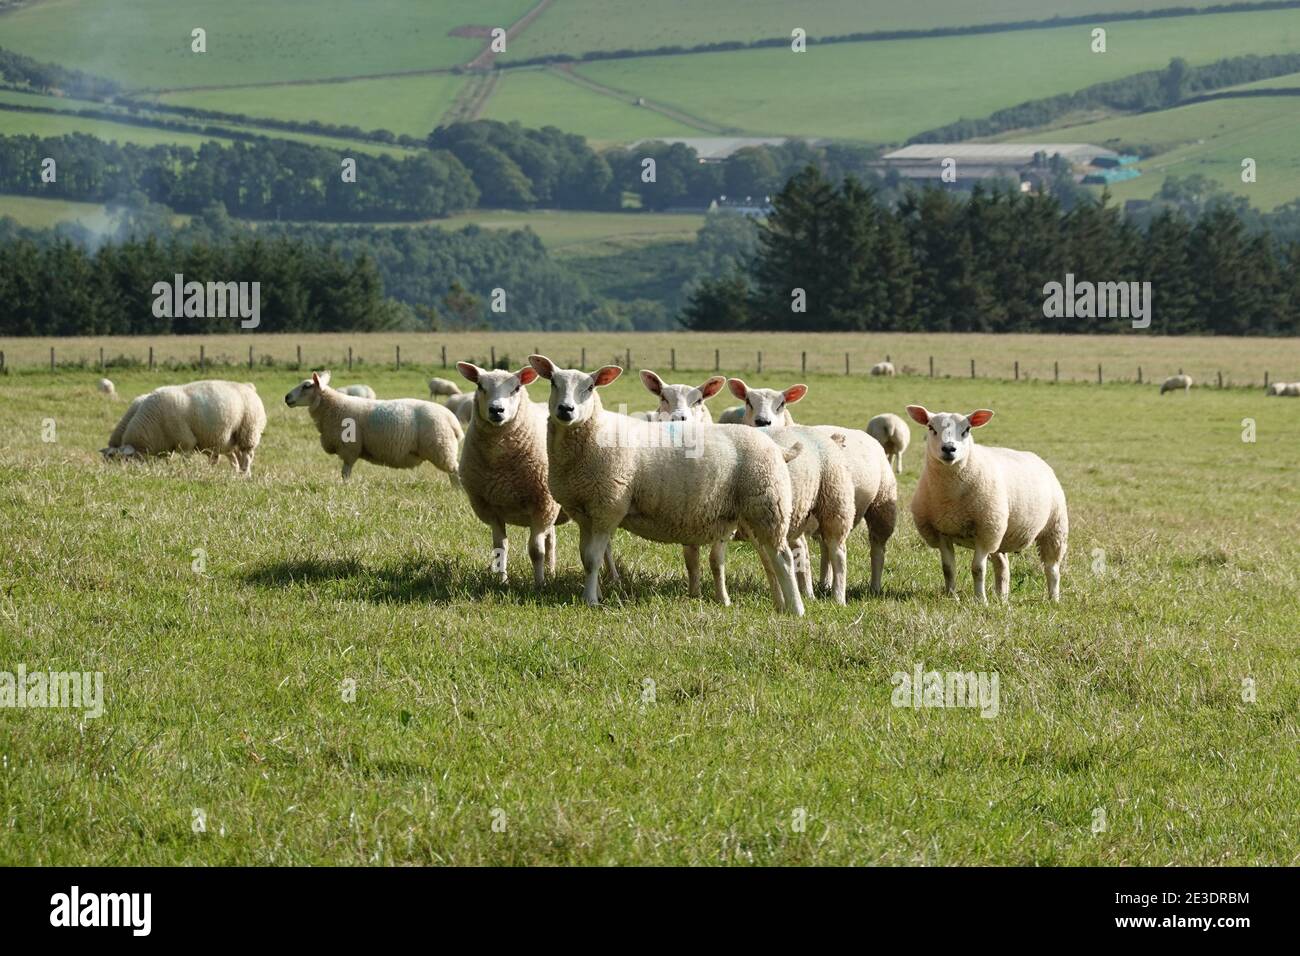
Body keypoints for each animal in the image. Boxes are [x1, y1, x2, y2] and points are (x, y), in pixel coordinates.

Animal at [101, 379, 266, 475]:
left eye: (122, 460)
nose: (114, 476)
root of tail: (249, 387)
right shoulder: (166, 444)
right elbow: (167, 459)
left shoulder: (185, 441)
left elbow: (186, 459)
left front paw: (186, 471)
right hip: (229, 440)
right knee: (235, 457)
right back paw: (235, 475)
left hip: (248, 432)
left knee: (247, 456)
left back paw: (245, 475)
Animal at [284, 370, 461, 482]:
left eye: (306, 386)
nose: (286, 397)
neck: (333, 406)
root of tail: (452, 419)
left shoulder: (350, 448)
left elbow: (345, 473)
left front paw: (344, 487)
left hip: (441, 448)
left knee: (455, 472)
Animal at [455, 361, 562, 587]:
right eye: (480, 386)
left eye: (516, 388)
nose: (497, 410)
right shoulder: (492, 509)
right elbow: (500, 548)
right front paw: (502, 581)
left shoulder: (541, 505)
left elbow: (536, 550)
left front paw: (539, 585)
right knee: (551, 539)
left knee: (549, 543)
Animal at [528, 355, 805, 615]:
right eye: (553, 383)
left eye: (590, 387)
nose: (566, 409)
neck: (593, 434)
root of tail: (776, 447)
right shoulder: (584, 512)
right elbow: (586, 558)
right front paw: (595, 593)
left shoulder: (608, 507)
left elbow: (594, 558)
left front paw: (590, 600)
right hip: (749, 513)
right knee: (769, 559)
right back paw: (780, 604)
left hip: (768, 506)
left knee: (783, 558)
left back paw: (796, 609)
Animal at [905, 404, 1068, 603]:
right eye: (931, 427)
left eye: (967, 430)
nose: (949, 448)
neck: (950, 498)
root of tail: (1037, 458)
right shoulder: (942, 531)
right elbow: (948, 568)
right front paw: (952, 597)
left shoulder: (985, 531)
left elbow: (978, 569)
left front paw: (980, 600)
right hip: (1001, 531)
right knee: (1002, 565)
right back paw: (1002, 598)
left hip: (1054, 528)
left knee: (1052, 568)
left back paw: (1054, 599)